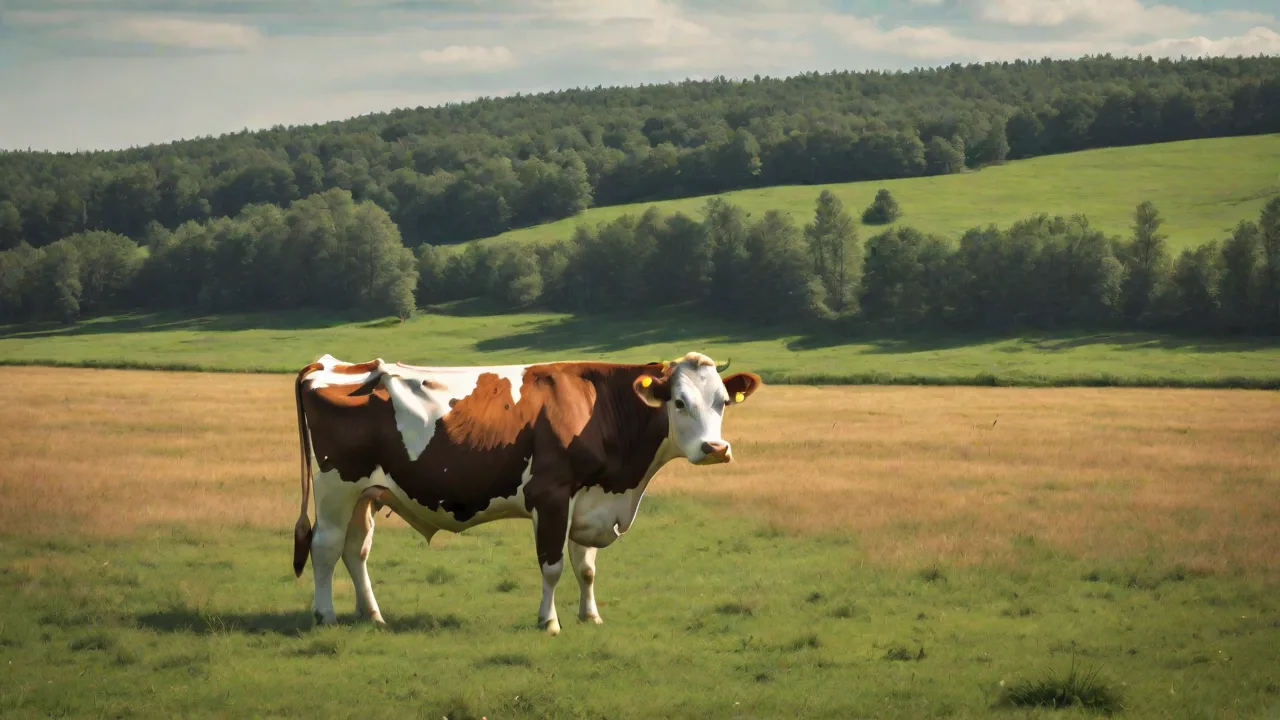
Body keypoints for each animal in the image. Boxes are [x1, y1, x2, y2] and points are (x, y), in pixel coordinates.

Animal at [291, 351, 762, 634]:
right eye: (679, 402)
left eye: (722, 401)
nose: (715, 449)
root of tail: (328, 365)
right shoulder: (551, 496)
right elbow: (552, 567)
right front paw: (549, 621)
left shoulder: (587, 501)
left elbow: (586, 567)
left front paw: (590, 615)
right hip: (335, 488)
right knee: (325, 546)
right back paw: (325, 614)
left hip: (365, 494)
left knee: (355, 549)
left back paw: (373, 615)